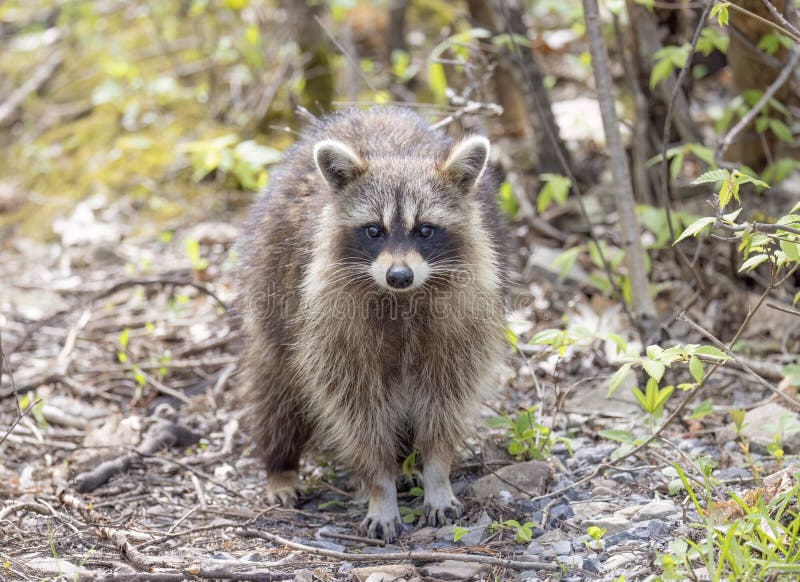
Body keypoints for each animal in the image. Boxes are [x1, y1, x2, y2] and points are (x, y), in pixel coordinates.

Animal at [237, 107, 506, 541]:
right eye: (374, 230)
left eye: (425, 230)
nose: (399, 276)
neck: (402, 299)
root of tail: (370, 110)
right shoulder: (331, 324)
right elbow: (357, 409)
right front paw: (380, 485)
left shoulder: (463, 320)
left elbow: (446, 398)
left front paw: (436, 471)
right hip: (271, 284)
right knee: (277, 387)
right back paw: (281, 464)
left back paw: (408, 464)